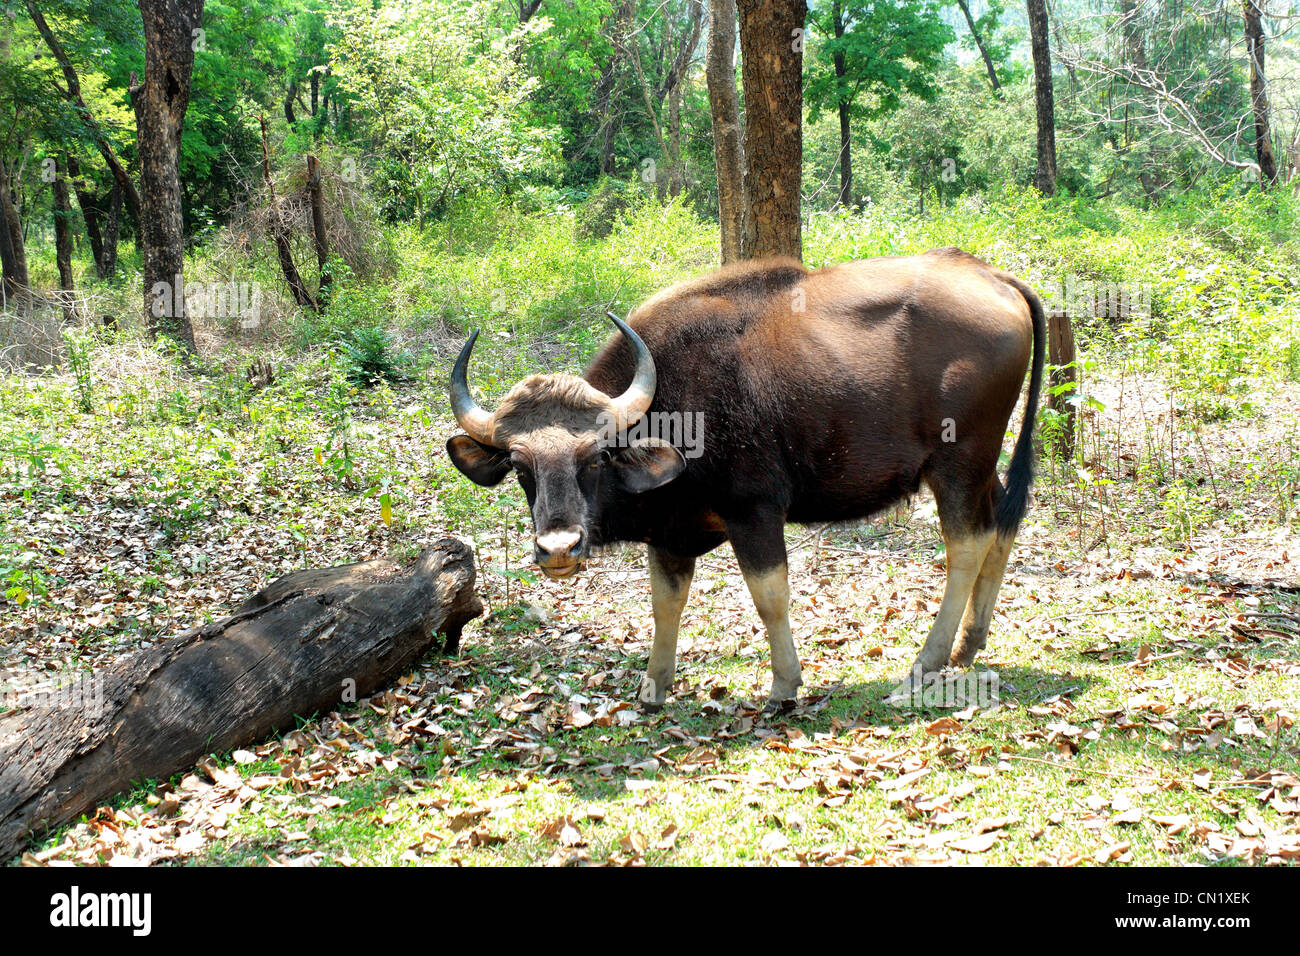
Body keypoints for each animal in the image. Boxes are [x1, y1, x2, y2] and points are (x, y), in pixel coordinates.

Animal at [446, 249, 1044, 711]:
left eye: (593, 458)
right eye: (520, 466)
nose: (559, 548)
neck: (673, 406)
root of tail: (992, 276)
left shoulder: (754, 511)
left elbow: (769, 596)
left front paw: (784, 685)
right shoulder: (671, 531)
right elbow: (665, 602)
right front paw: (654, 686)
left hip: (958, 463)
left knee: (966, 544)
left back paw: (926, 662)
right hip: (979, 466)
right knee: (1000, 523)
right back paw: (969, 645)